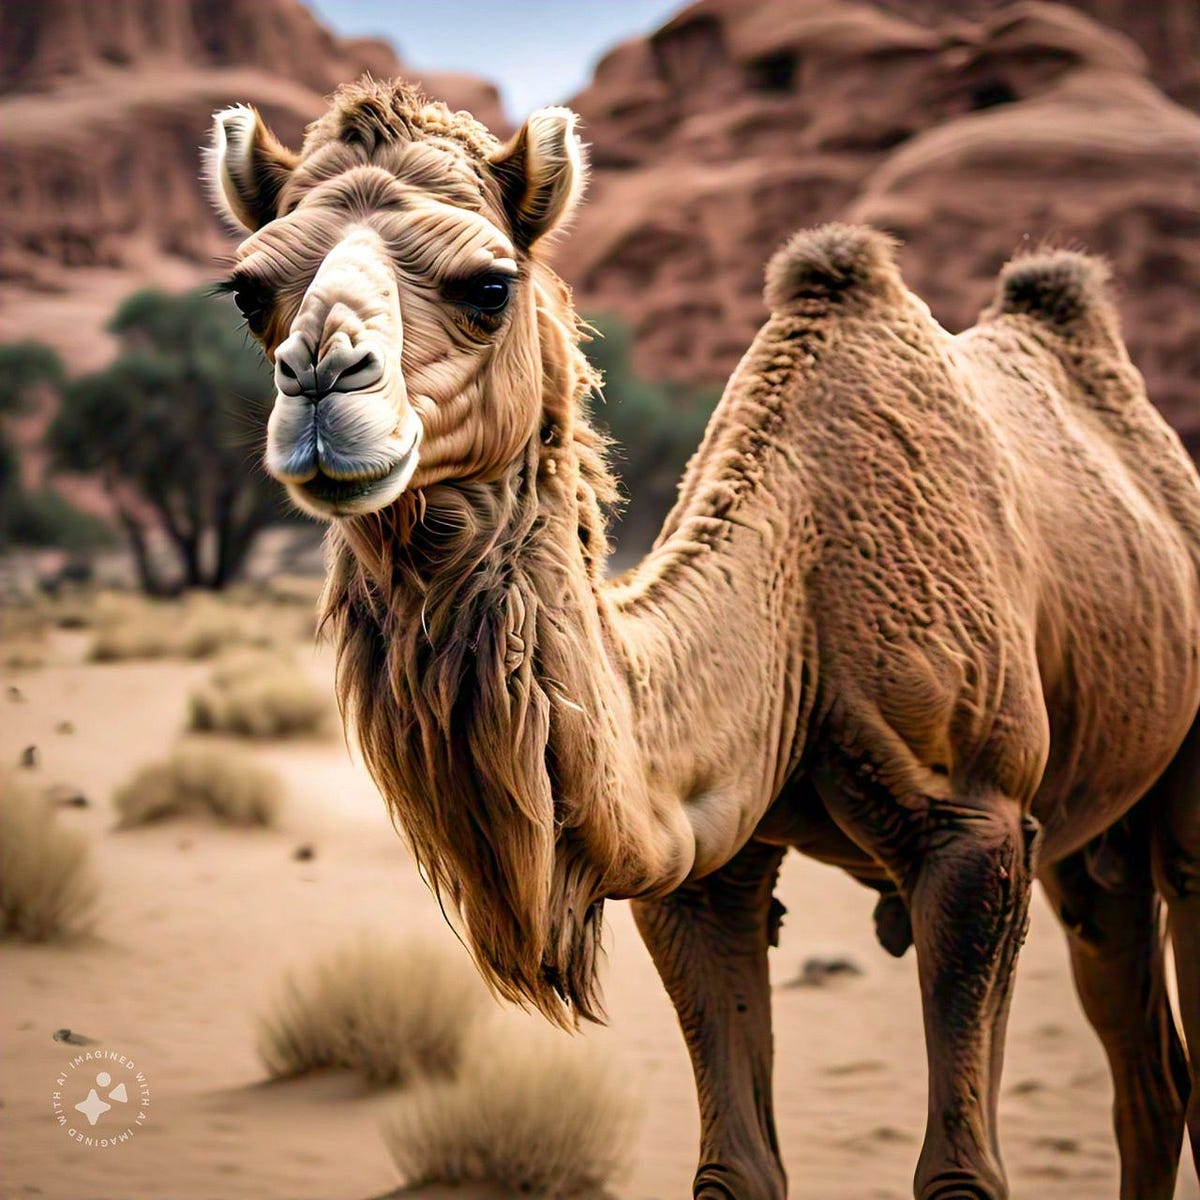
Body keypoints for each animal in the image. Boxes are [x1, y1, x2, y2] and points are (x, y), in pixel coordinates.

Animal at [207, 79, 1200, 1199]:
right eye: (248, 291)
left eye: (489, 285)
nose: (322, 389)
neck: (800, 602)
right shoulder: (701, 866)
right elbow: (735, 1168)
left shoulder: (977, 825)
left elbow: (959, 1171)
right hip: (1089, 836)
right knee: (1148, 1070)